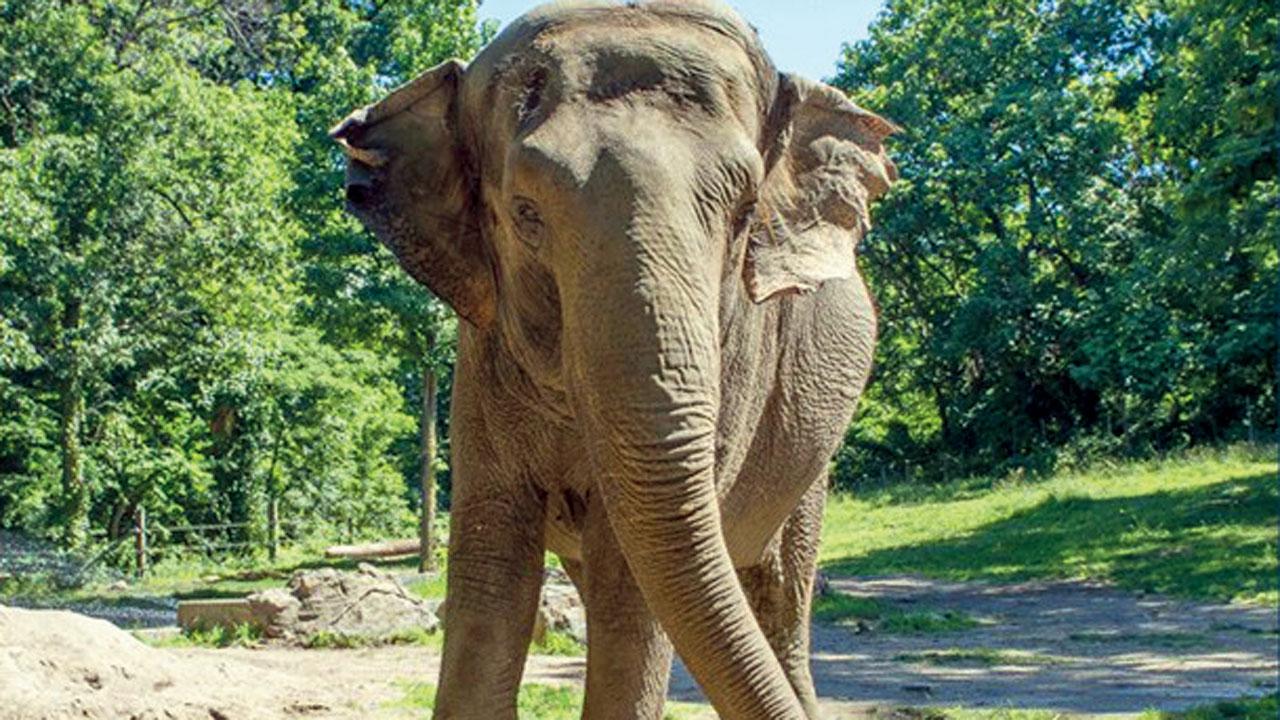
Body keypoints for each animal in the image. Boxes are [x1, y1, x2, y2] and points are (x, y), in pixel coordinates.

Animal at [330, 1, 896, 718]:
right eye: (524, 213)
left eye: (745, 213)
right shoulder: (480, 364)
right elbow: (490, 575)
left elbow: (630, 587)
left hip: (809, 462)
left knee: (777, 600)